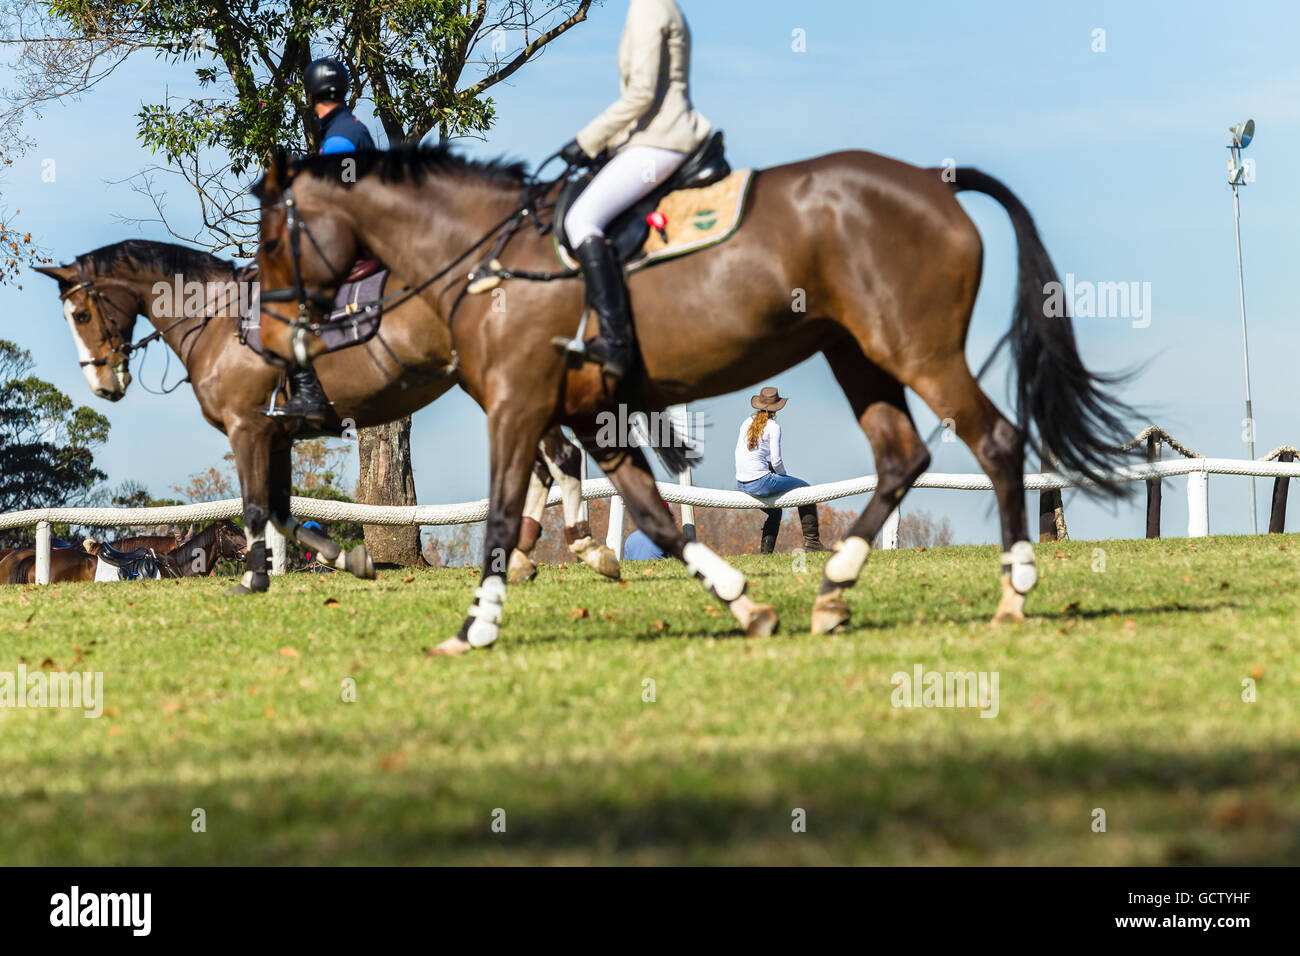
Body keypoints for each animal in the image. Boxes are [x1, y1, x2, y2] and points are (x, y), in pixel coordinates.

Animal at [34, 241, 619, 595]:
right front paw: (347, 561)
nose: (105, 386)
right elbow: (281, 511)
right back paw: (535, 556)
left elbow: (259, 509)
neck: (217, 320)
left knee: (558, 457)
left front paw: (257, 580)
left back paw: (584, 550)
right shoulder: (273, 435)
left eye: (81, 314)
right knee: (552, 460)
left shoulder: (248, 429)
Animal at [249, 145, 1135, 655]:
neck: (486, 259)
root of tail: (930, 180)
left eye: (272, 235)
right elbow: (651, 516)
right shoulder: (582, 413)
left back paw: (1012, 595)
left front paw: (475, 627)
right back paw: (833, 593)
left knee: (997, 442)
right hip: (859, 356)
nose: (271, 339)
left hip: (915, 351)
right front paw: (743, 606)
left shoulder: (518, 405)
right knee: (902, 458)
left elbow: (505, 515)